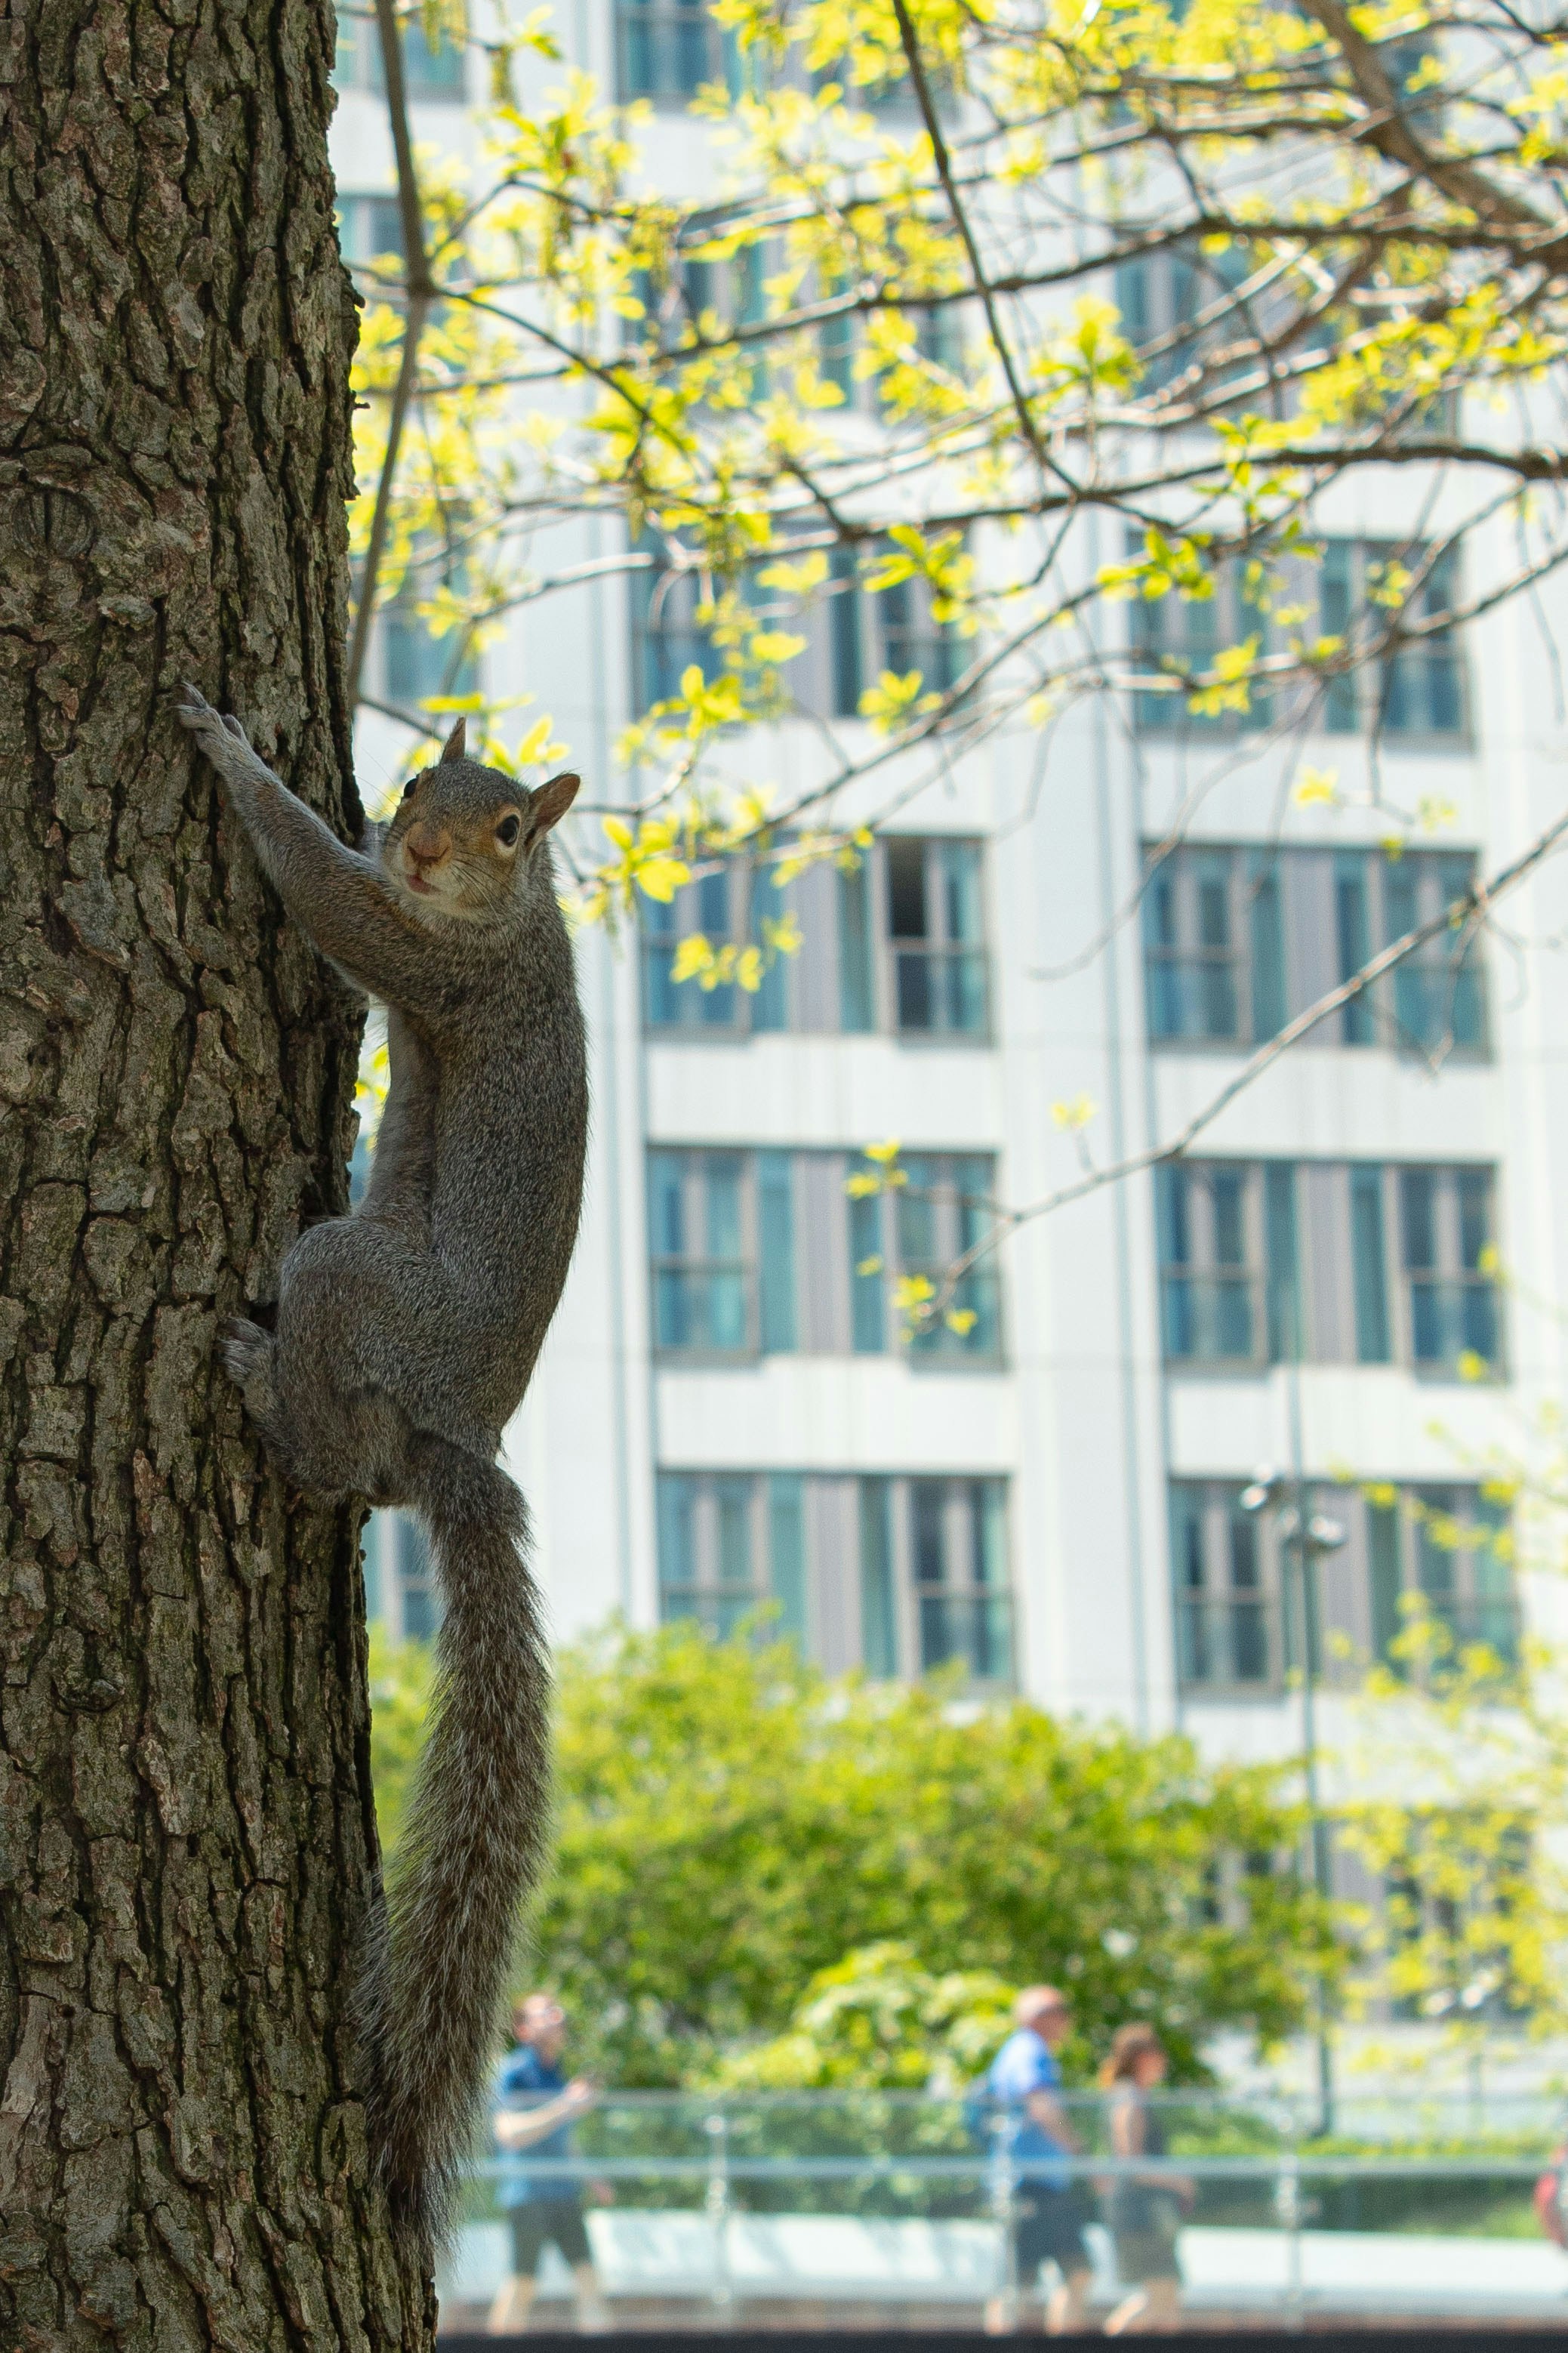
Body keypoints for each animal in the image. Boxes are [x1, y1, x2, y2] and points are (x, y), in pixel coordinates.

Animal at [177, 688, 588, 2247]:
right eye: (418, 783)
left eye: (512, 825)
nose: (411, 846)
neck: (510, 918)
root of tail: (449, 1448)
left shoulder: (437, 966)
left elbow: (326, 896)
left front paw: (234, 754)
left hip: (354, 1282)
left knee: (337, 1455)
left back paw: (263, 1394)